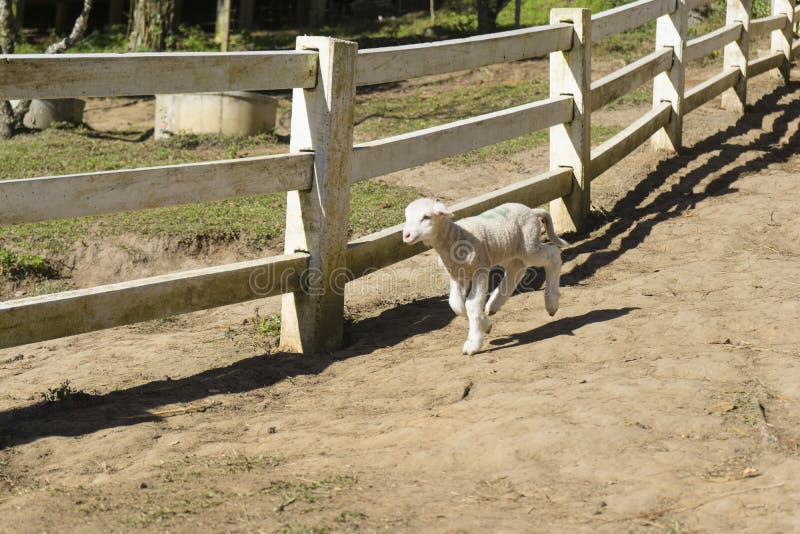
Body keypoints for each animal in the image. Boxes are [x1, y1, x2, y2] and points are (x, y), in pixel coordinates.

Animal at [402, 198, 570, 355]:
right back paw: (493, 305)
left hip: (529, 246)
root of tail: (532, 211)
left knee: (553, 255)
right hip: (507, 249)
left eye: (426, 217)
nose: (406, 235)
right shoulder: (457, 275)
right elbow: (456, 304)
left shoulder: (480, 269)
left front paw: (473, 344)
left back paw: (552, 303)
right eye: (406, 217)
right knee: (517, 268)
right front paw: (485, 324)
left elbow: (471, 304)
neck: (455, 238)